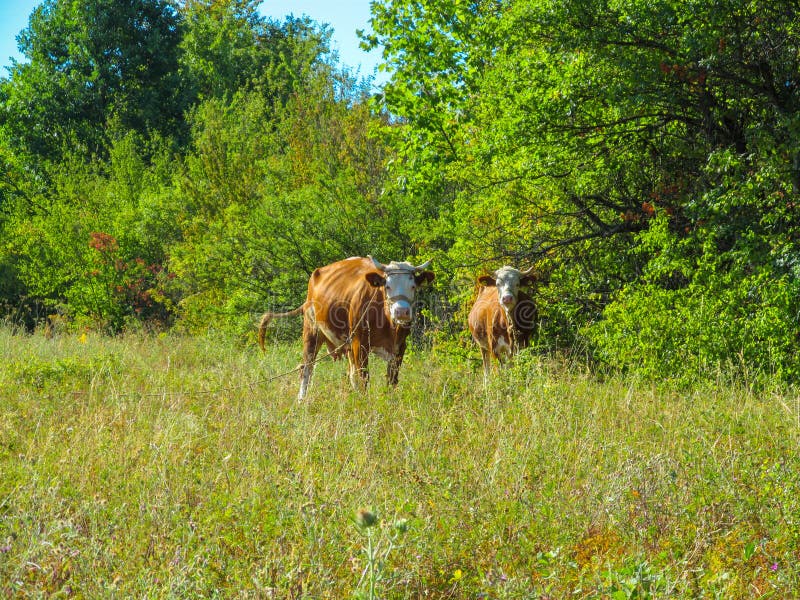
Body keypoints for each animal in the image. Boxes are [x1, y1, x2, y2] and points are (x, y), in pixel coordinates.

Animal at [258, 256, 434, 400]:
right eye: (387, 286)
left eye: (413, 286)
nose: (401, 311)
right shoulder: (360, 344)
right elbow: (364, 378)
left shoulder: (399, 347)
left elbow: (392, 380)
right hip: (312, 329)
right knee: (307, 367)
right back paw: (301, 400)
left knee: (350, 374)